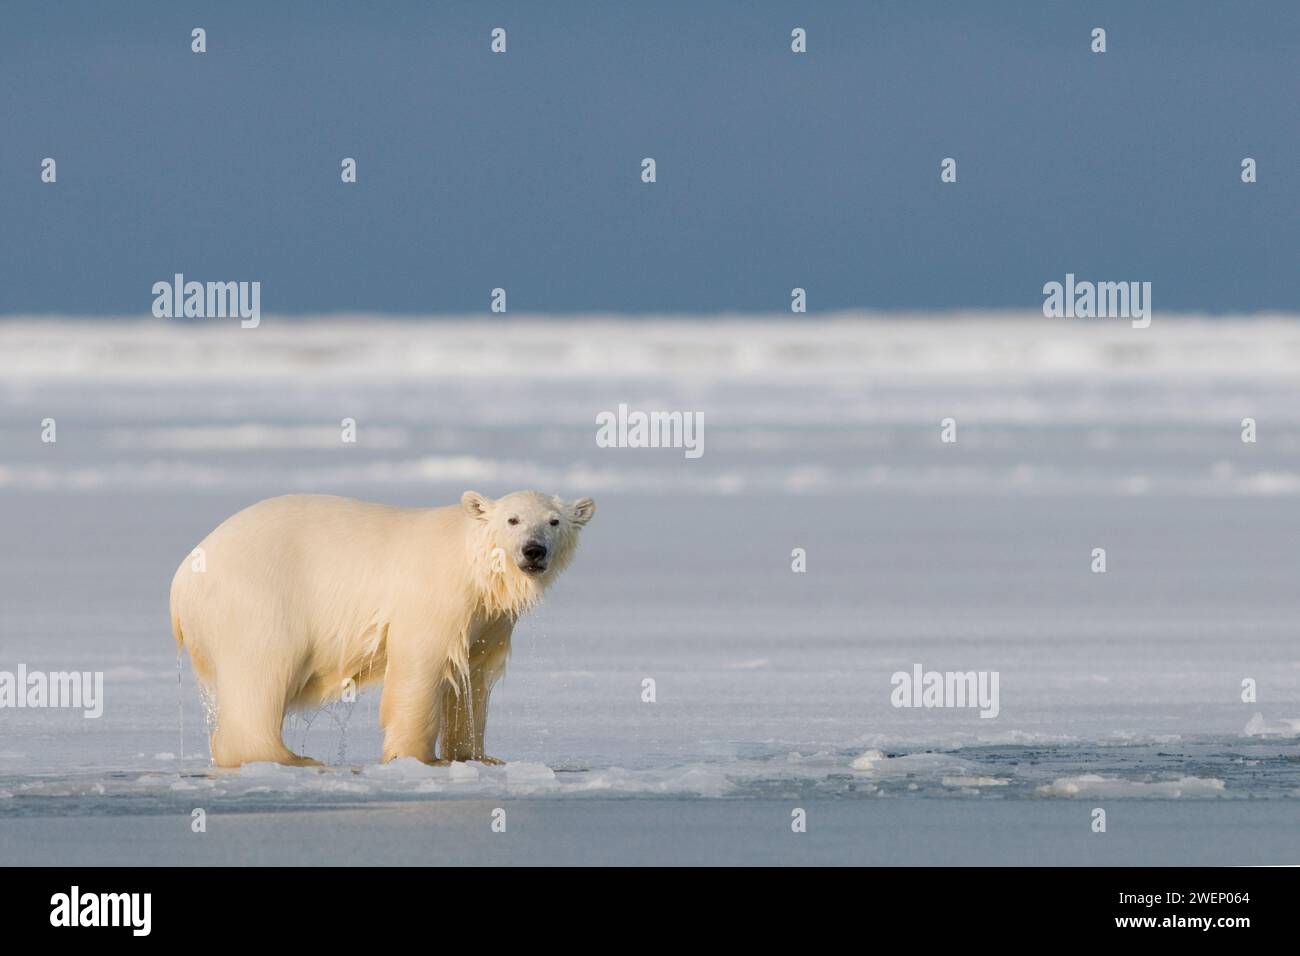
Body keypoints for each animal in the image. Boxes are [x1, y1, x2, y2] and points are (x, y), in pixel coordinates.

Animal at [169, 489, 595, 768]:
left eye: (554, 521)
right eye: (513, 519)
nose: (533, 550)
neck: (473, 566)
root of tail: (182, 579)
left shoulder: (488, 619)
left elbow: (471, 677)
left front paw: (478, 757)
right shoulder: (433, 597)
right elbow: (421, 666)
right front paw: (413, 757)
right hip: (258, 598)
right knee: (261, 671)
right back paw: (288, 758)